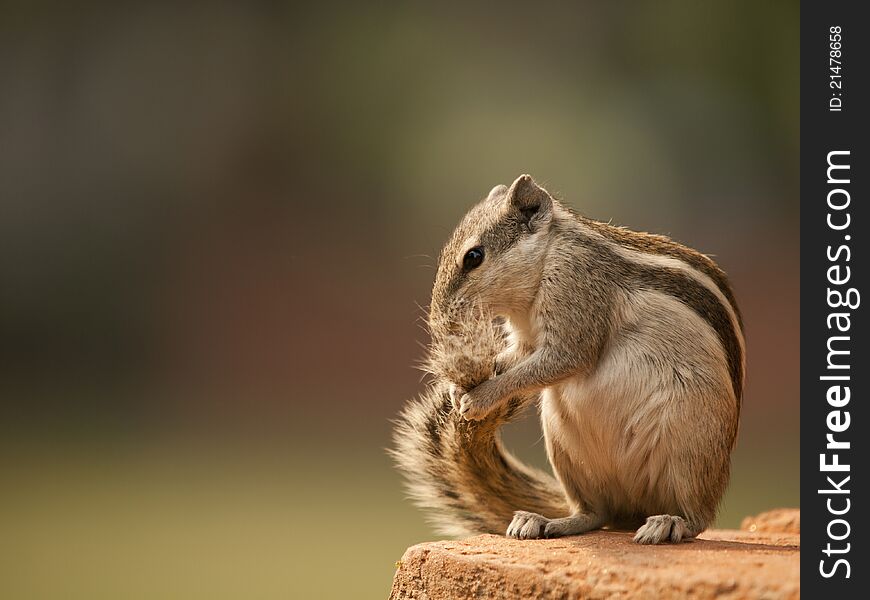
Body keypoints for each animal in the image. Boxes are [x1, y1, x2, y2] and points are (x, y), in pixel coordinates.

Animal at [392, 174, 744, 544]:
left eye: (474, 256)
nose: (439, 318)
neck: (547, 256)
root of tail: (635, 511)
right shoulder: (526, 340)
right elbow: (514, 358)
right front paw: (455, 389)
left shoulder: (577, 292)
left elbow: (564, 359)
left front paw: (480, 397)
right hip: (567, 450)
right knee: (595, 514)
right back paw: (545, 522)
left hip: (690, 449)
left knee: (698, 517)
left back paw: (669, 524)